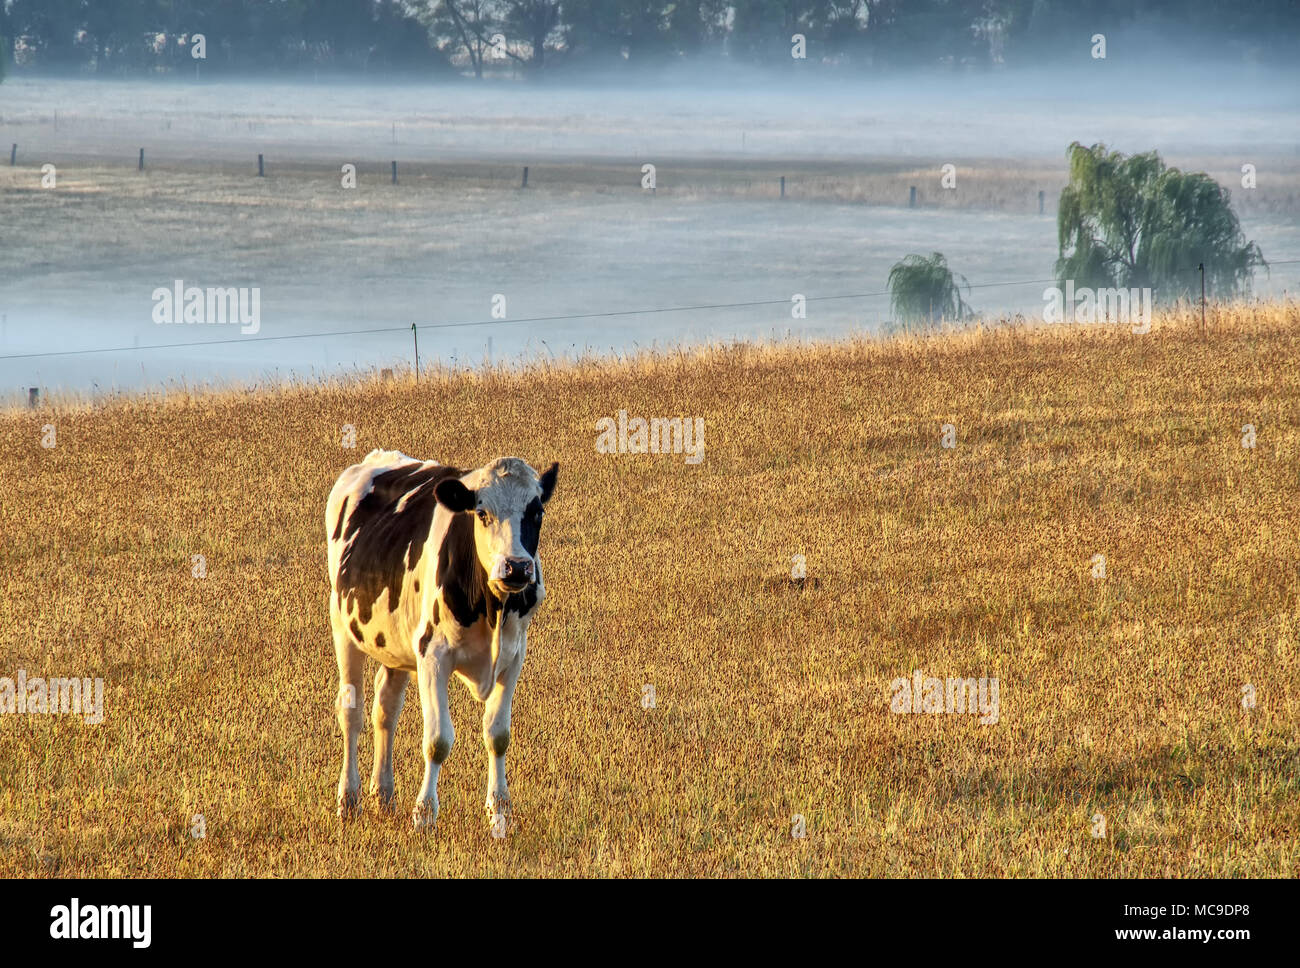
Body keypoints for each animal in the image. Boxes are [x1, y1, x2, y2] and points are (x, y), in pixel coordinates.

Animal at [325, 450, 559, 830]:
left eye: (536, 512)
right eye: (482, 513)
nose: (516, 567)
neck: (491, 609)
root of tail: (375, 457)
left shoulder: (514, 656)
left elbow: (498, 735)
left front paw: (499, 814)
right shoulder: (432, 656)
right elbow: (437, 740)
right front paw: (424, 815)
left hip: (394, 643)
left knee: (386, 709)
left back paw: (384, 795)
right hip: (343, 626)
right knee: (352, 711)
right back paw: (349, 799)